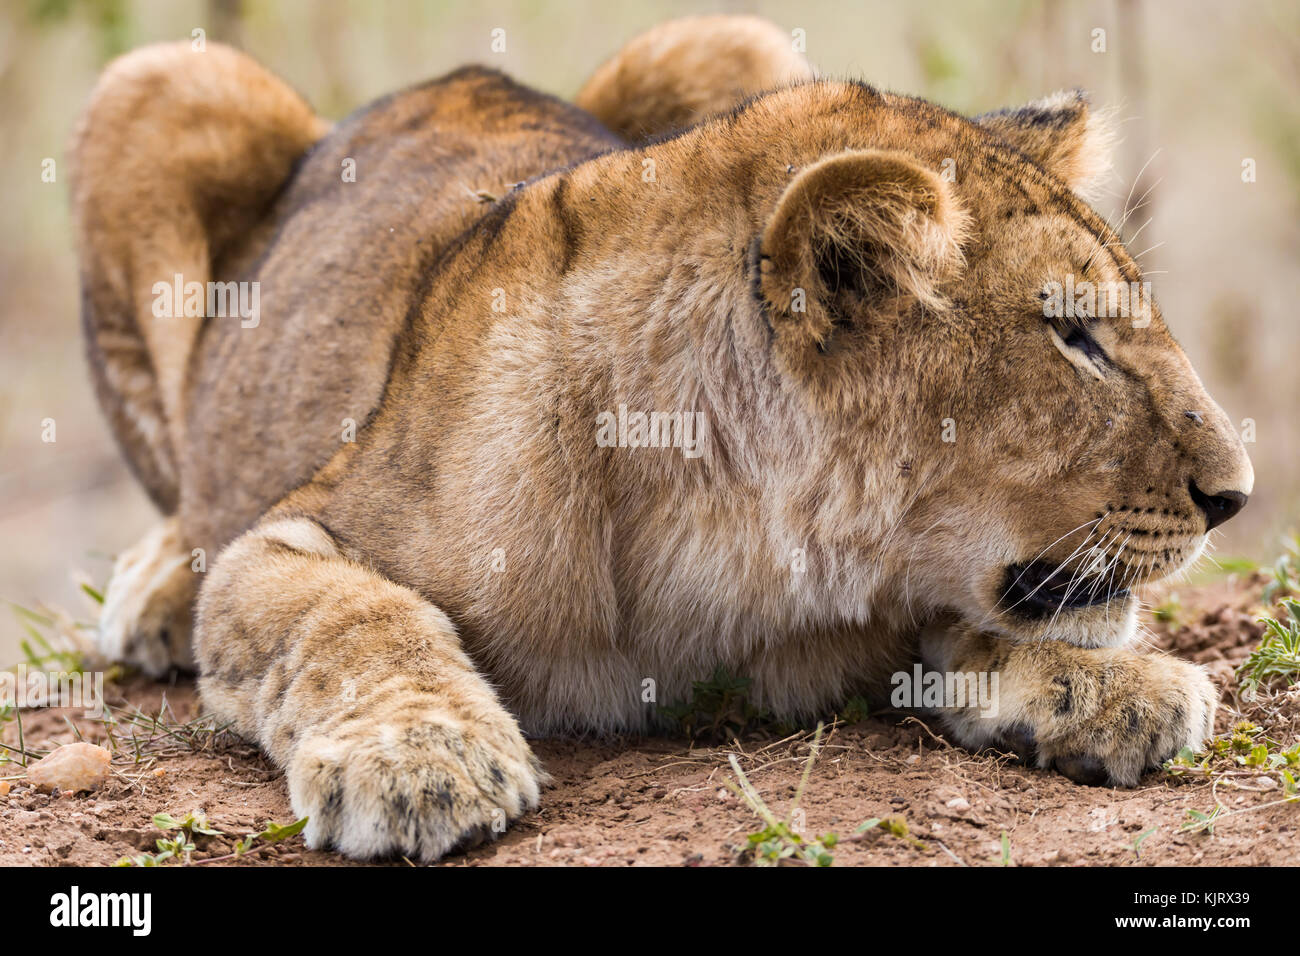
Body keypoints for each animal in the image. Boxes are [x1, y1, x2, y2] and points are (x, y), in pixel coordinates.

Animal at [70, 15, 1252, 861]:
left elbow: (971, 625)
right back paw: (154, 595)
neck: (725, 556)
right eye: (1073, 336)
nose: (1235, 493)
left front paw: (1114, 687)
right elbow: (361, 617)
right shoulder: (292, 533)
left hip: (725, 37)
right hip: (154, 85)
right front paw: (421, 761)